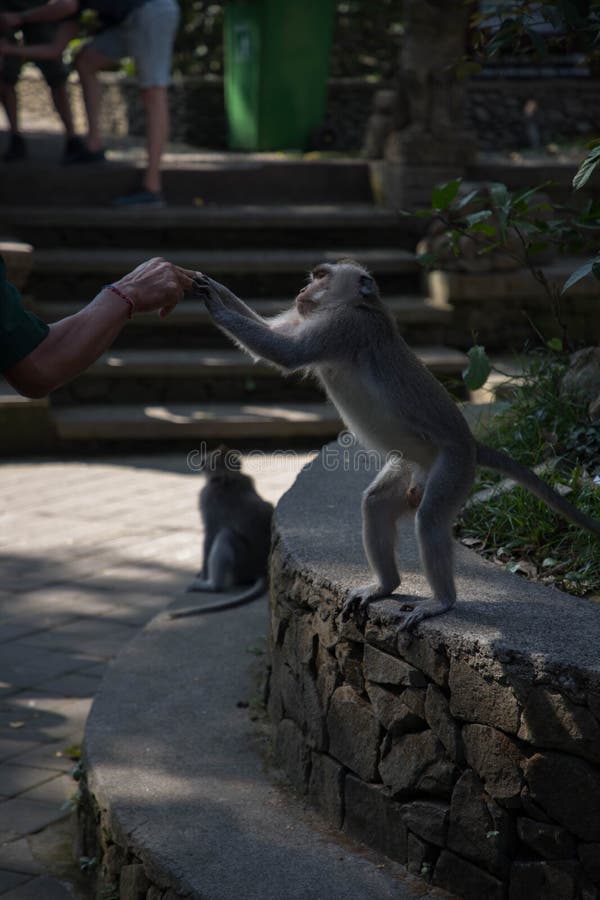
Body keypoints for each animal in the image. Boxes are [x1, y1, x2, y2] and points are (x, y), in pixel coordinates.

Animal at [170, 445, 273, 619]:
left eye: (210, 459)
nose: (201, 460)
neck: (228, 478)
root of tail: (261, 570)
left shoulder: (207, 497)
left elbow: (210, 534)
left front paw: (204, 575)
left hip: (242, 564)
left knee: (225, 535)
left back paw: (212, 586)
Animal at [191, 262, 600, 630]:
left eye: (321, 276)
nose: (304, 290)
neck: (360, 305)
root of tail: (472, 445)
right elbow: (272, 331)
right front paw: (212, 285)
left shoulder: (345, 326)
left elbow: (284, 351)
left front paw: (213, 304)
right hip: (410, 468)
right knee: (376, 504)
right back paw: (386, 586)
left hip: (453, 468)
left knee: (430, 519)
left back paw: (442, 602)